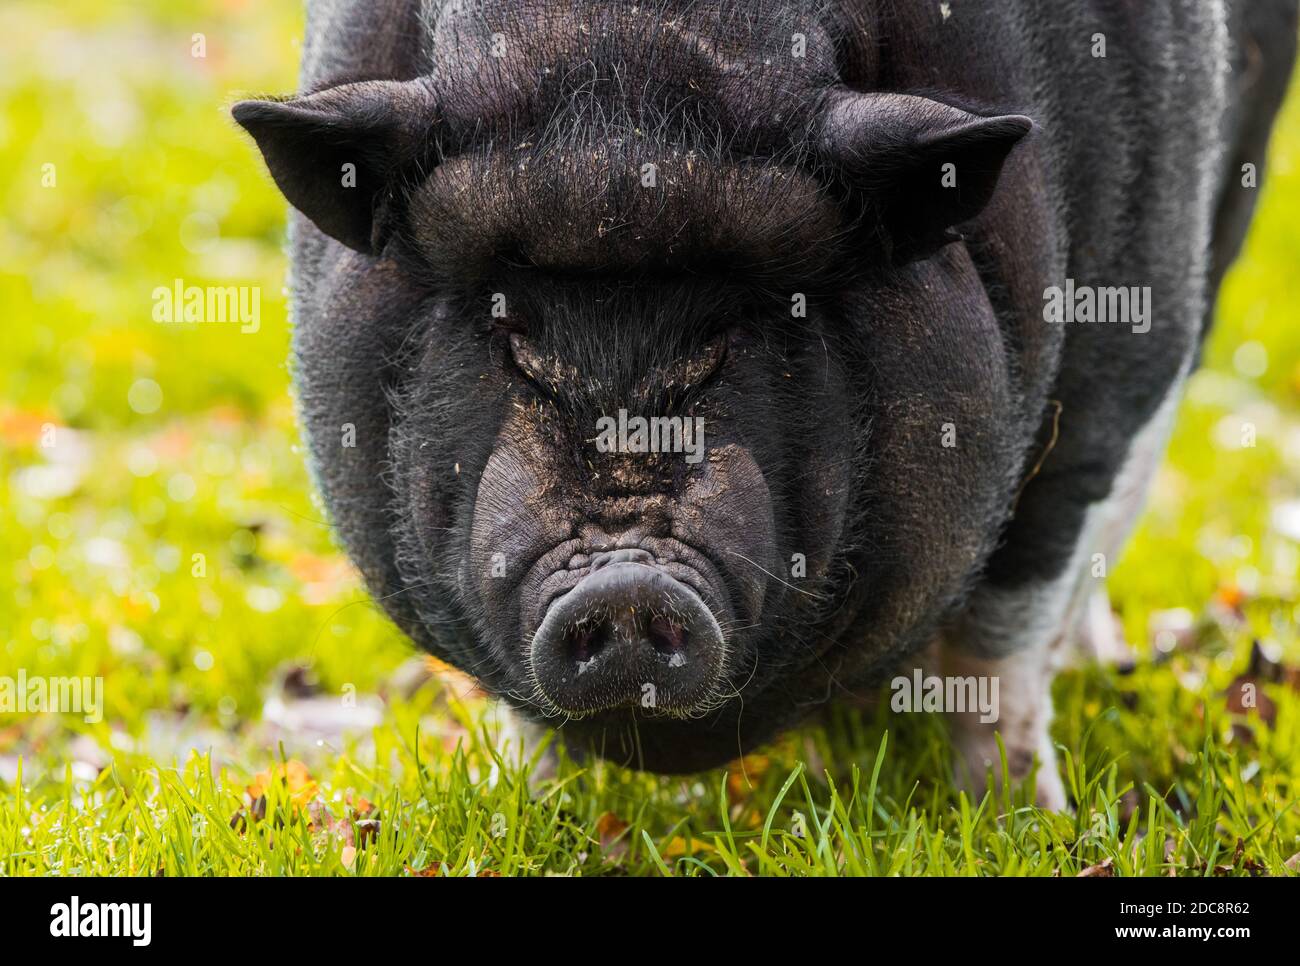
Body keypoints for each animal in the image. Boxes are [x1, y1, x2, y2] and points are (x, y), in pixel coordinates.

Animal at [234, 0, 1297, 806]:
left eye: (736, 331)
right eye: (517, 343)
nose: (624, 584)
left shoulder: (1121, 361)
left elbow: (1004, 641)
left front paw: (1020, 820)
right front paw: (527, 809)